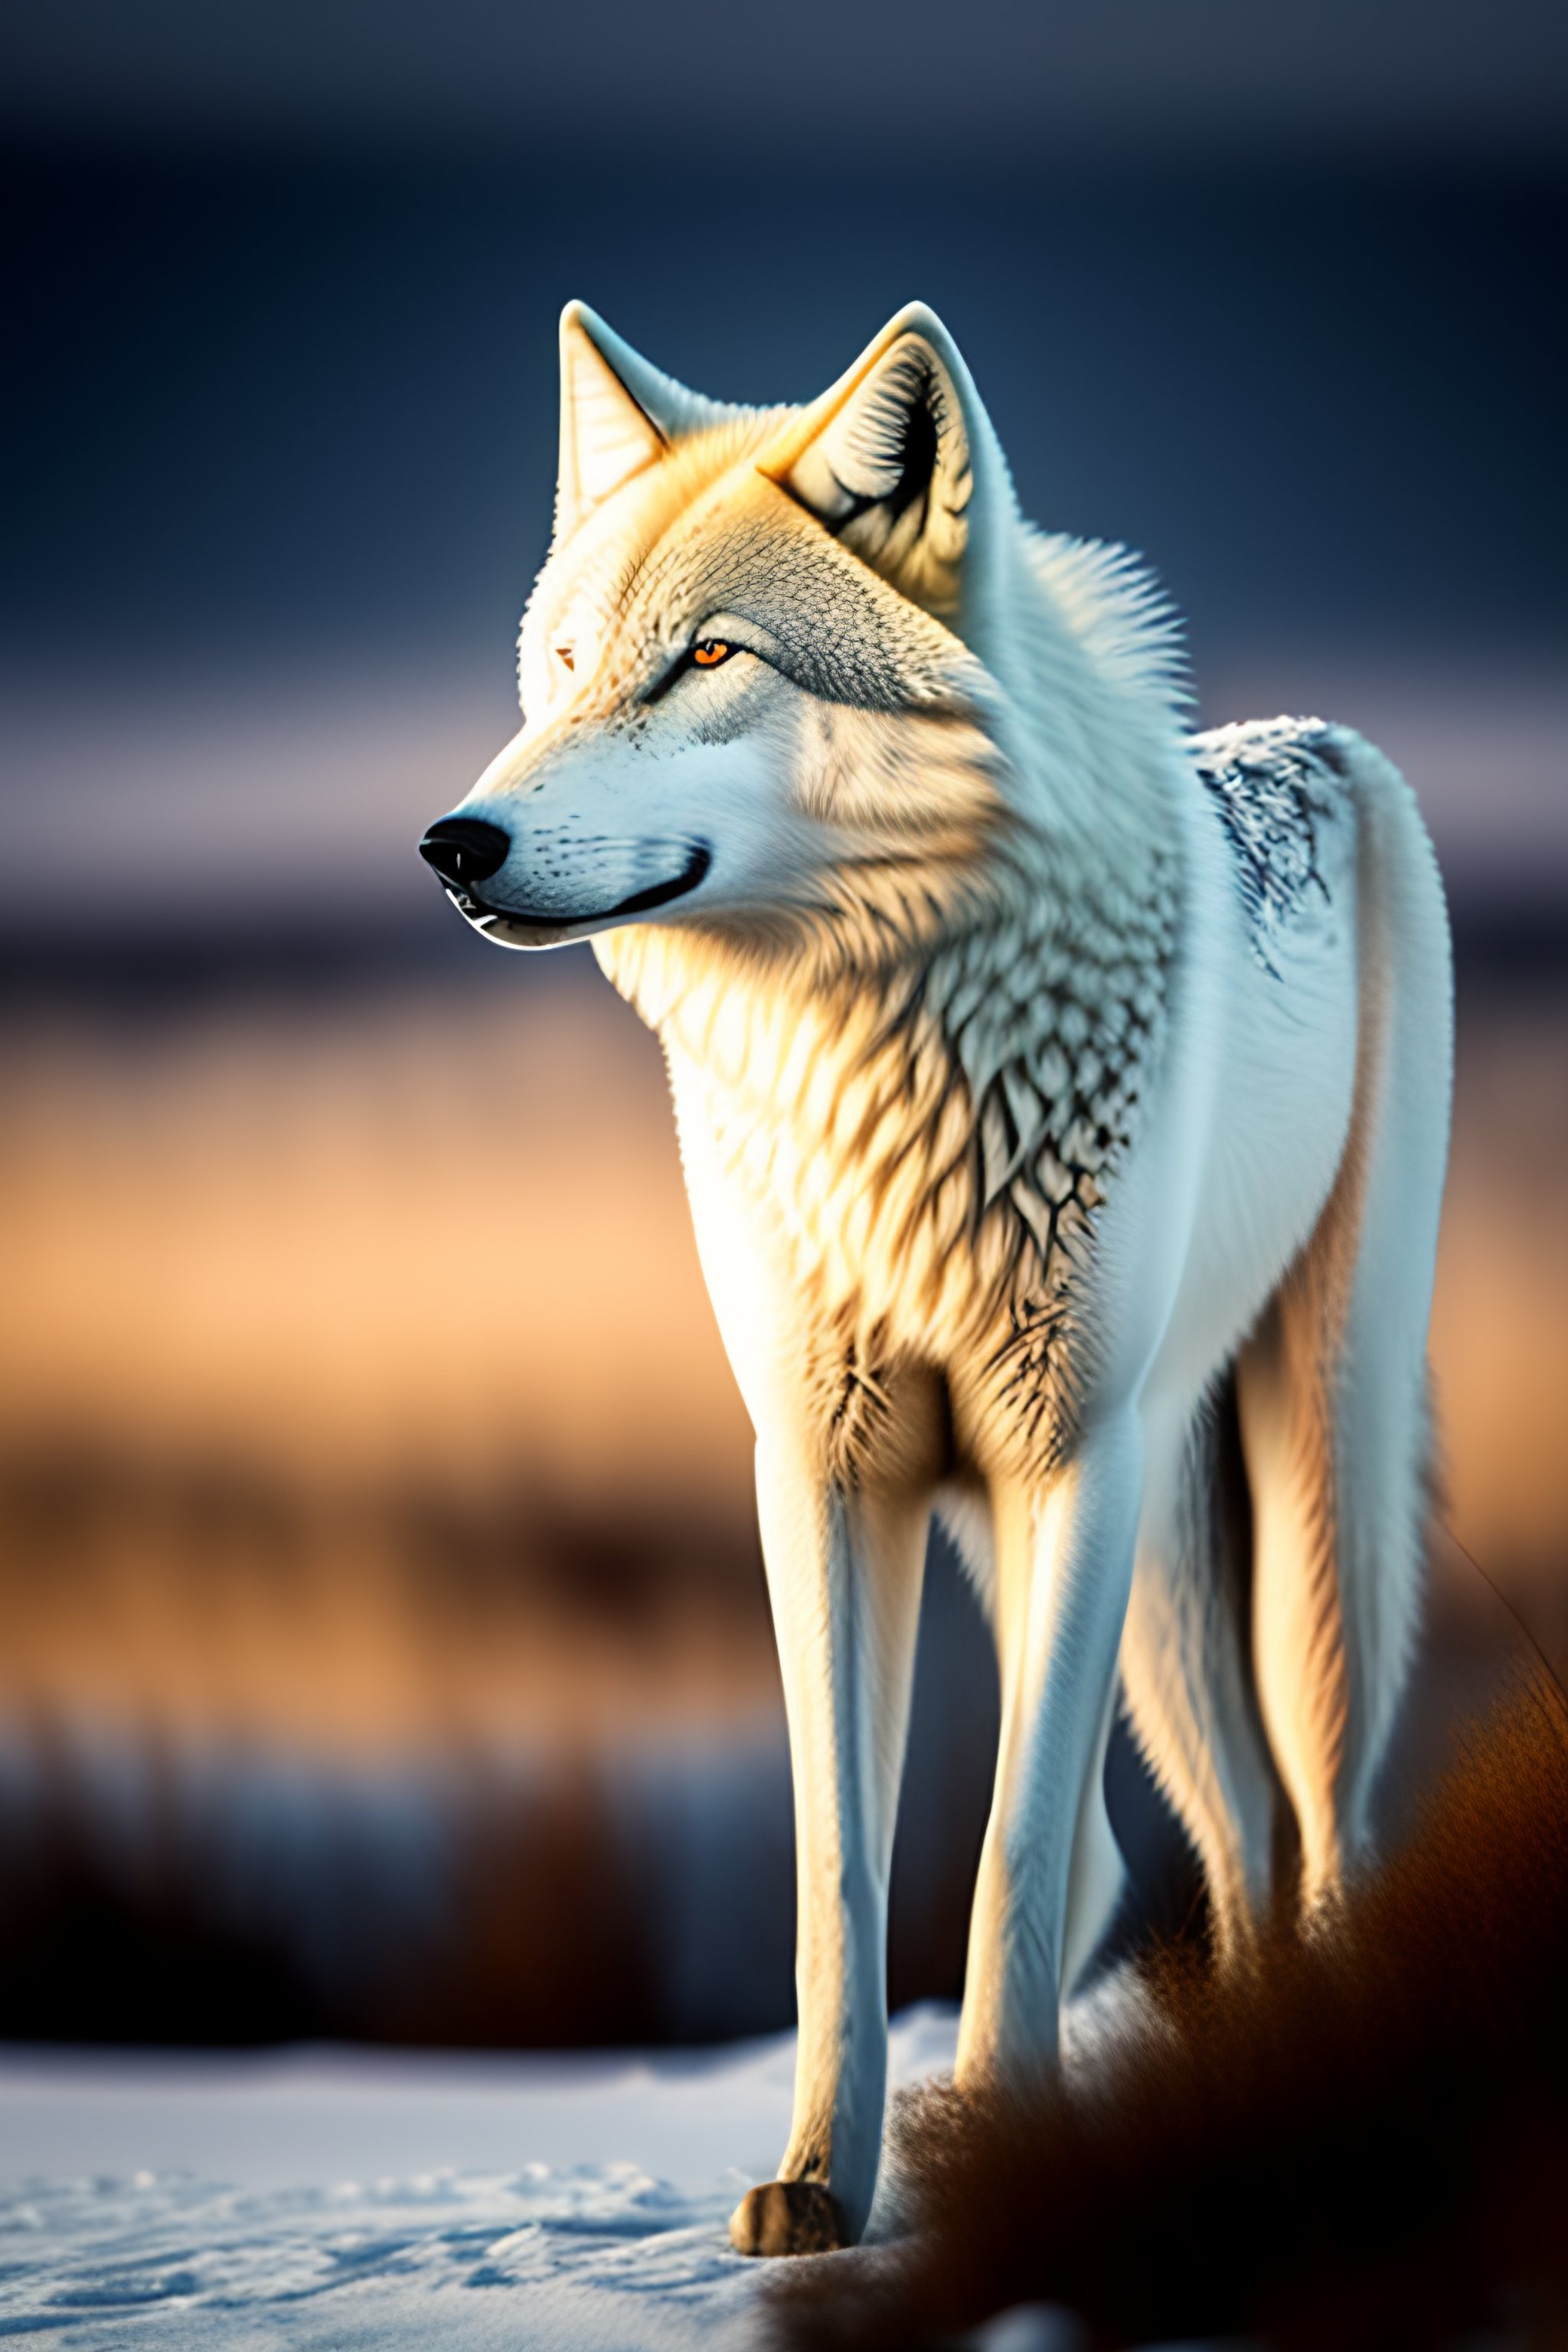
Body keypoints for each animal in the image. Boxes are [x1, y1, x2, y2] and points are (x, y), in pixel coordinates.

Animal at [419, 301, 1453, 2256]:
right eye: (567, 666)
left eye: (709, 658)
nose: (454, 845)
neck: (877, 1056)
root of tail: (1325, 739)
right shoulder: (825, 1468)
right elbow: (844, 1868)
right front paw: (823, 2186)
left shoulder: (1067, 1457)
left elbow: (1012, 1849)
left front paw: (1013, 2166)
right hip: (1141, 1554)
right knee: (1214, 1832)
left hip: (1291, 1484)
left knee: (1318, 1805)